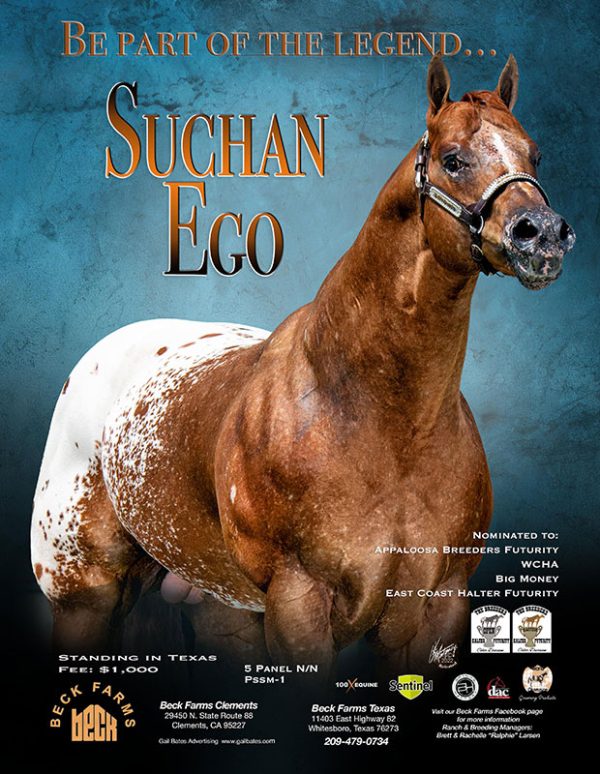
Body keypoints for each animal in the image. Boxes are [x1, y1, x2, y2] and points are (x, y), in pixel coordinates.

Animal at [31, 55, 575, 673]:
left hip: (221, 607)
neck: (391, 428)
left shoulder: (438, 606)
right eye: (453, 159)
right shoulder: (299, 602)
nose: (542, 234)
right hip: (85, 599)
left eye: (534, 154)